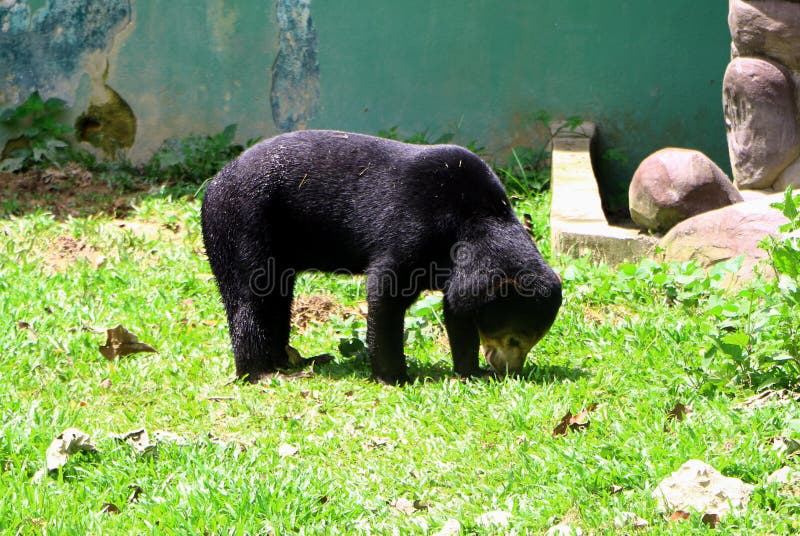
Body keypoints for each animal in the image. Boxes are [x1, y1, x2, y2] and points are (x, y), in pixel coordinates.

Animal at [201, 130, 562, 384]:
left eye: (529, 342)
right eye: (513, 339)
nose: (508, 370)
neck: (473, 219)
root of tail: (214, 184)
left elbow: (456, 310)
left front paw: (471, 371)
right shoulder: (413, 226)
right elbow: (386, 290)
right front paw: (395, 377)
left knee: (278, 297)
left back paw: (294, 360)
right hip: (242, 225)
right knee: (252, 296)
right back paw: (262, 373)